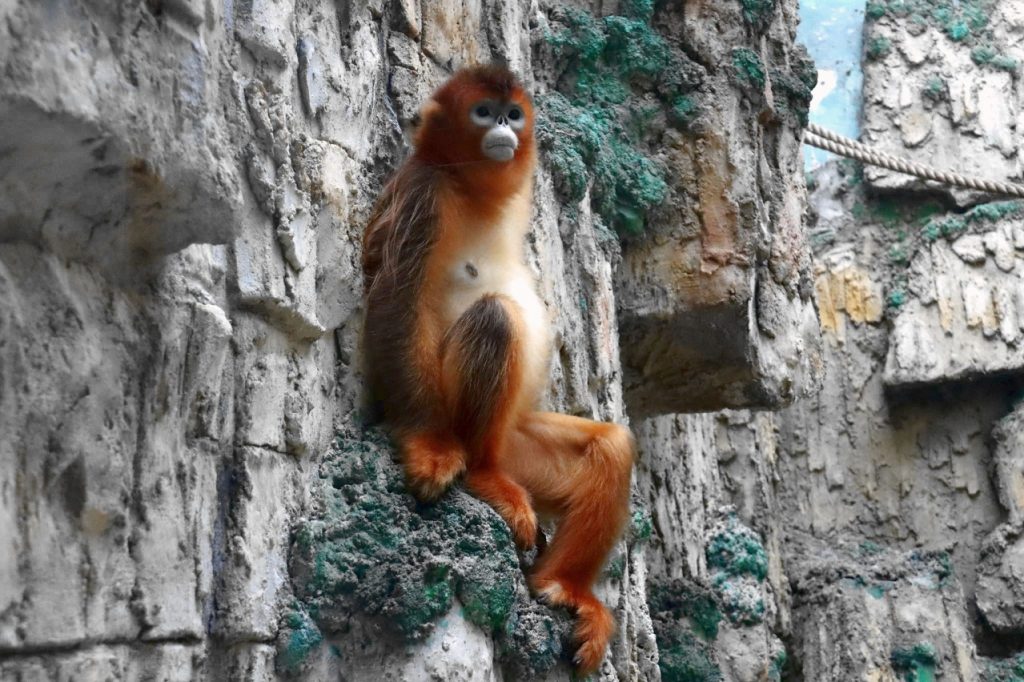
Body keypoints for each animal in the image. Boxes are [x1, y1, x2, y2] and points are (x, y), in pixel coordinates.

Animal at [361, 64, 635, 675]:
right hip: (477, 429)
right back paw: (481, 475)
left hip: (523, 451)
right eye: (483, 112)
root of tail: (498, 450)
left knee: (611, 446)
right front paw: (426, 445)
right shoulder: (422, 194)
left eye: (512, 114)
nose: (505, 131)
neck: (467, 187)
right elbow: (395, 300)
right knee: (495, 318)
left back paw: (566, 588)